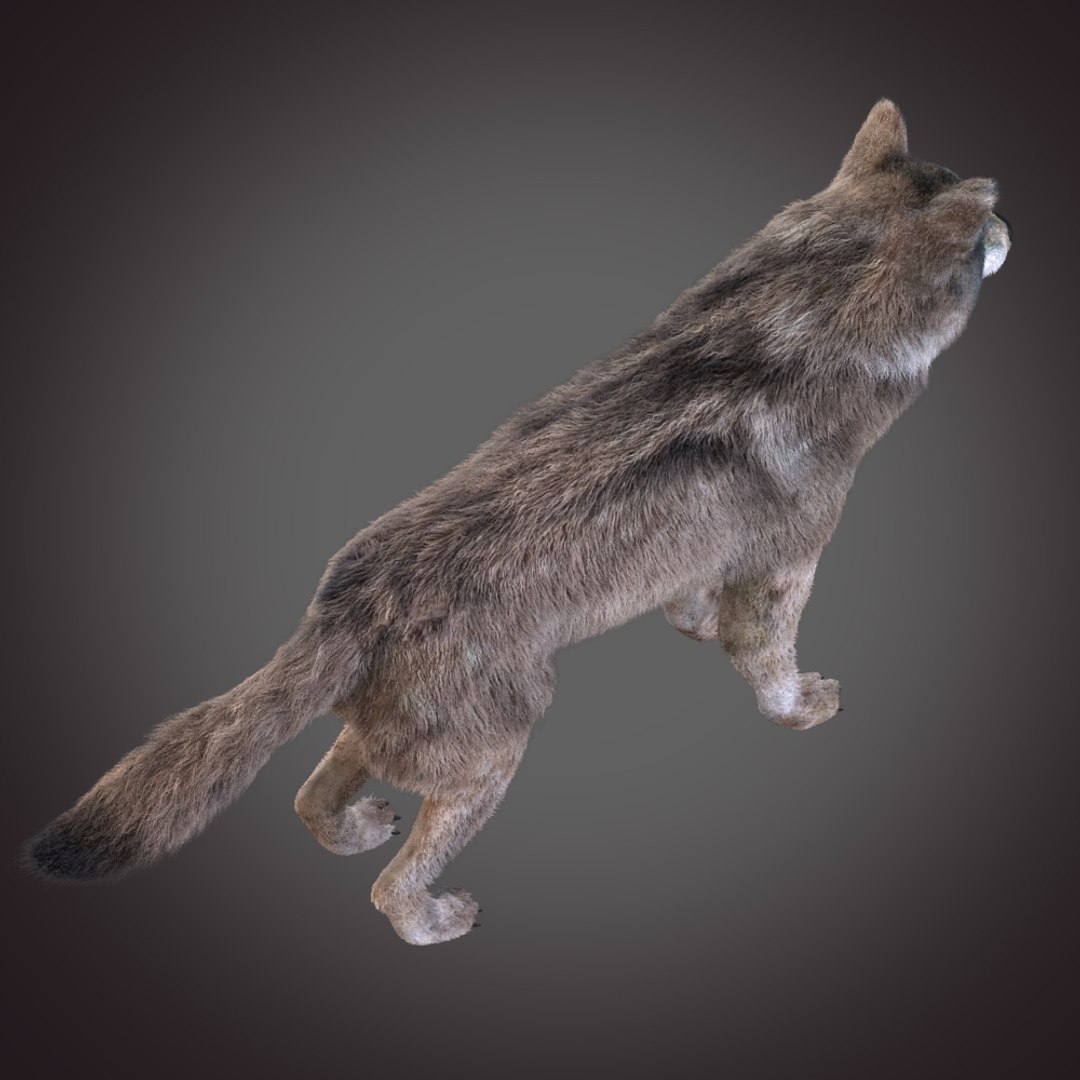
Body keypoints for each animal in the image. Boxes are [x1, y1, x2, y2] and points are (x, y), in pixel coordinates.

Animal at [24, 101, 1010, 944]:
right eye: (982, 224)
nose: (1009, 228)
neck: (798, 304)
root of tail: (340, 608)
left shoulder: (712, 556)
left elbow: (693, 600)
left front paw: (692, 626)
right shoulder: (785, 572)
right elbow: (769, 667)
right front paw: (802, 708)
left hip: (407, 741)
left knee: (311, 791)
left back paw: (351, 828)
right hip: (493, 758)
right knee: (387, 885)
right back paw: (431, 918)